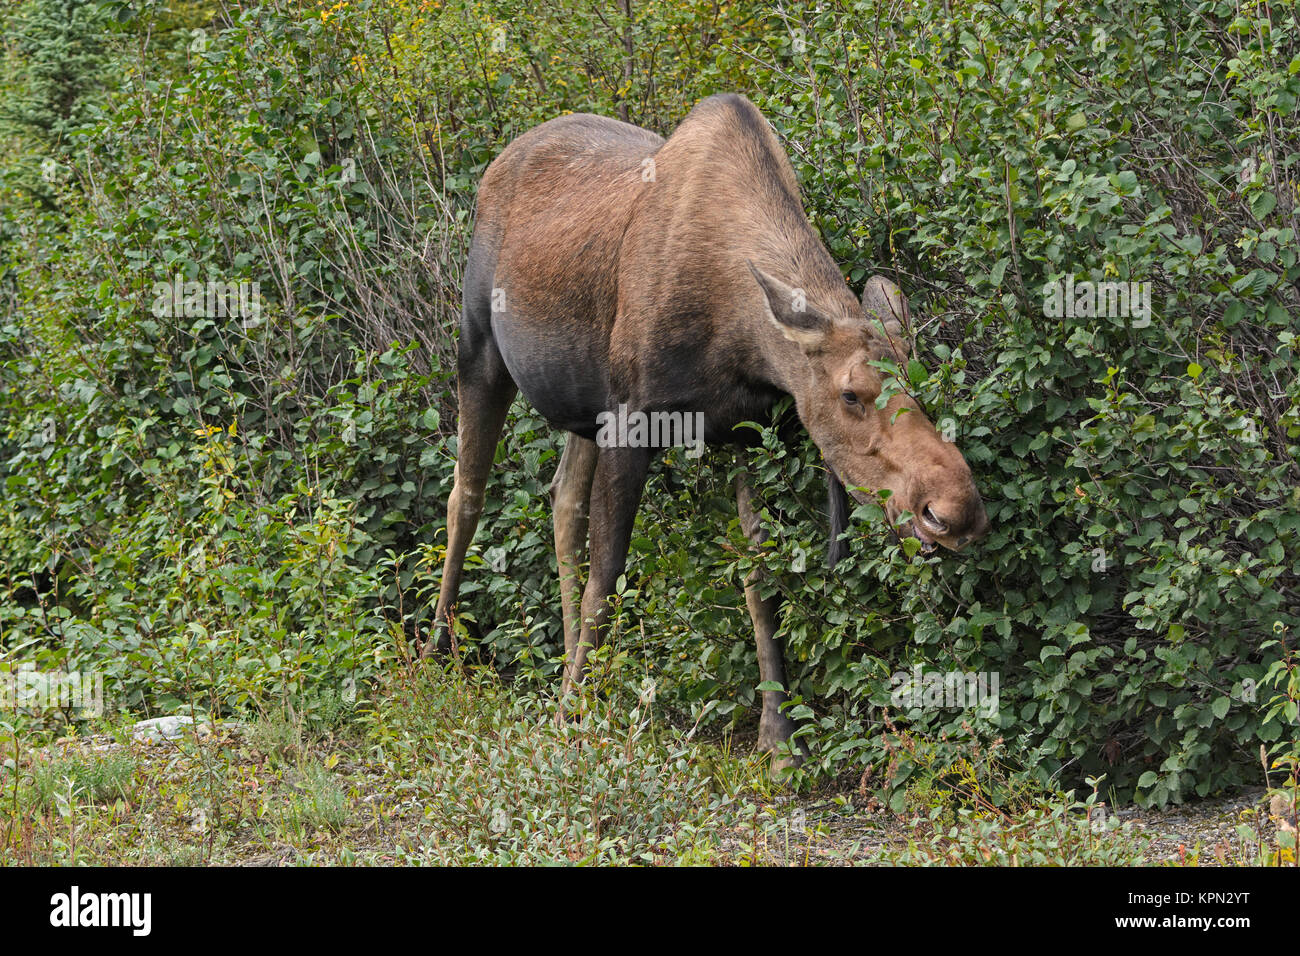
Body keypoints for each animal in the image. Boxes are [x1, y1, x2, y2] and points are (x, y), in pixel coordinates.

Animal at [422, 93, 989, 767]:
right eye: (850, 392)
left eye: (920, 383)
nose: (952, 509)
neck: (737, 335)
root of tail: (497, 163)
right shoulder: (633, 420)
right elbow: (607, 577)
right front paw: (574, 720)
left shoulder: (748, 431)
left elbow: (759, 580)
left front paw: (779, 735)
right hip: (479, 349)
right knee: (466, 495)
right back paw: (437, 653)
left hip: (581, 405)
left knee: (562, 501)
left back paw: (560, 665)